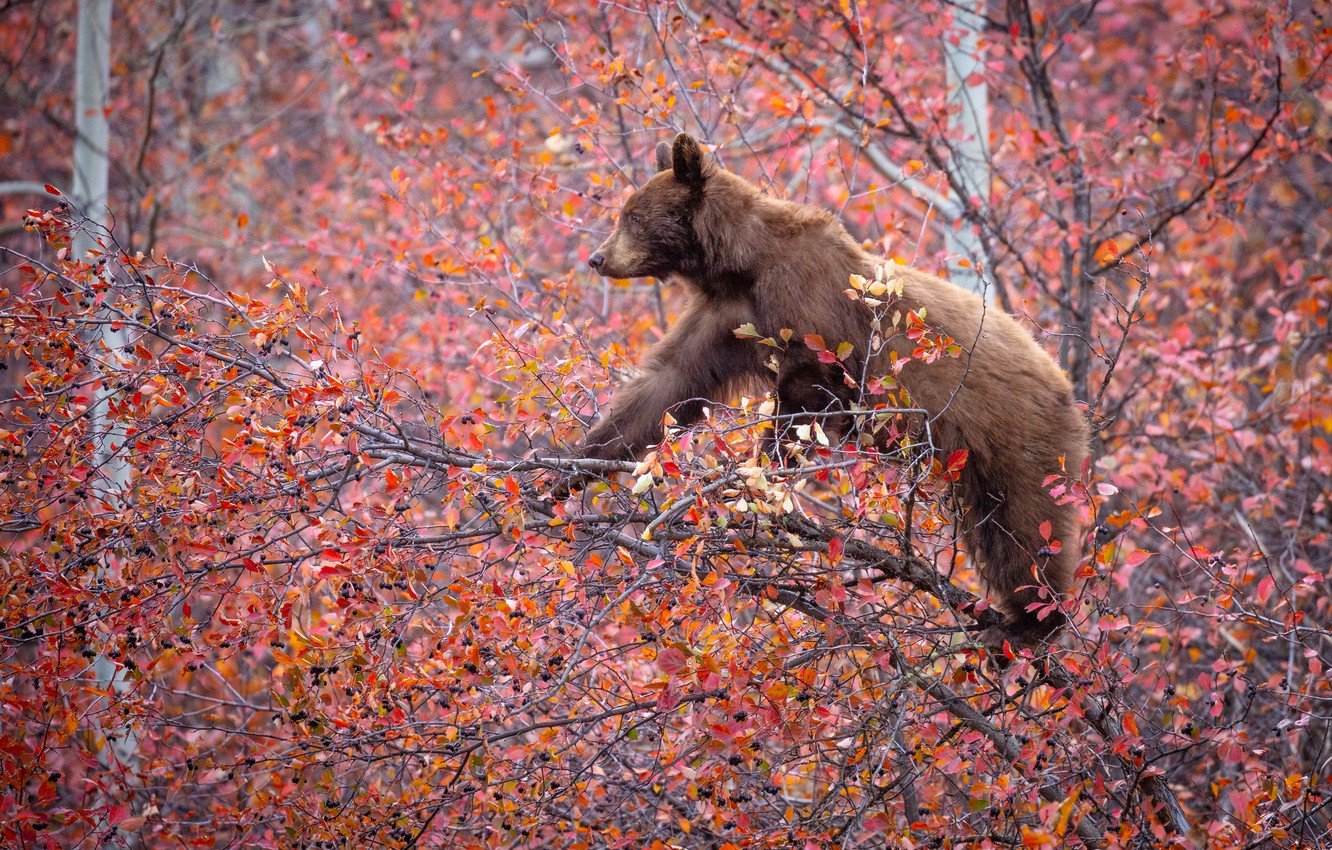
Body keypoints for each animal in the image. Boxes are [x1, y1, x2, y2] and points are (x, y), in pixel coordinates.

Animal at [563, 132, 1090, 646]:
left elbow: (804, 399)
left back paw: (1031, 624)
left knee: (1023, 524)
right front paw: (566, 469)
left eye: (633, 217)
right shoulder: (725, 321)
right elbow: (665, 388)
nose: (597, 258)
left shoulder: (809, 307)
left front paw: (754, 481)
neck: (742, 266)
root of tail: (1066, 388)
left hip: (1014, 434)